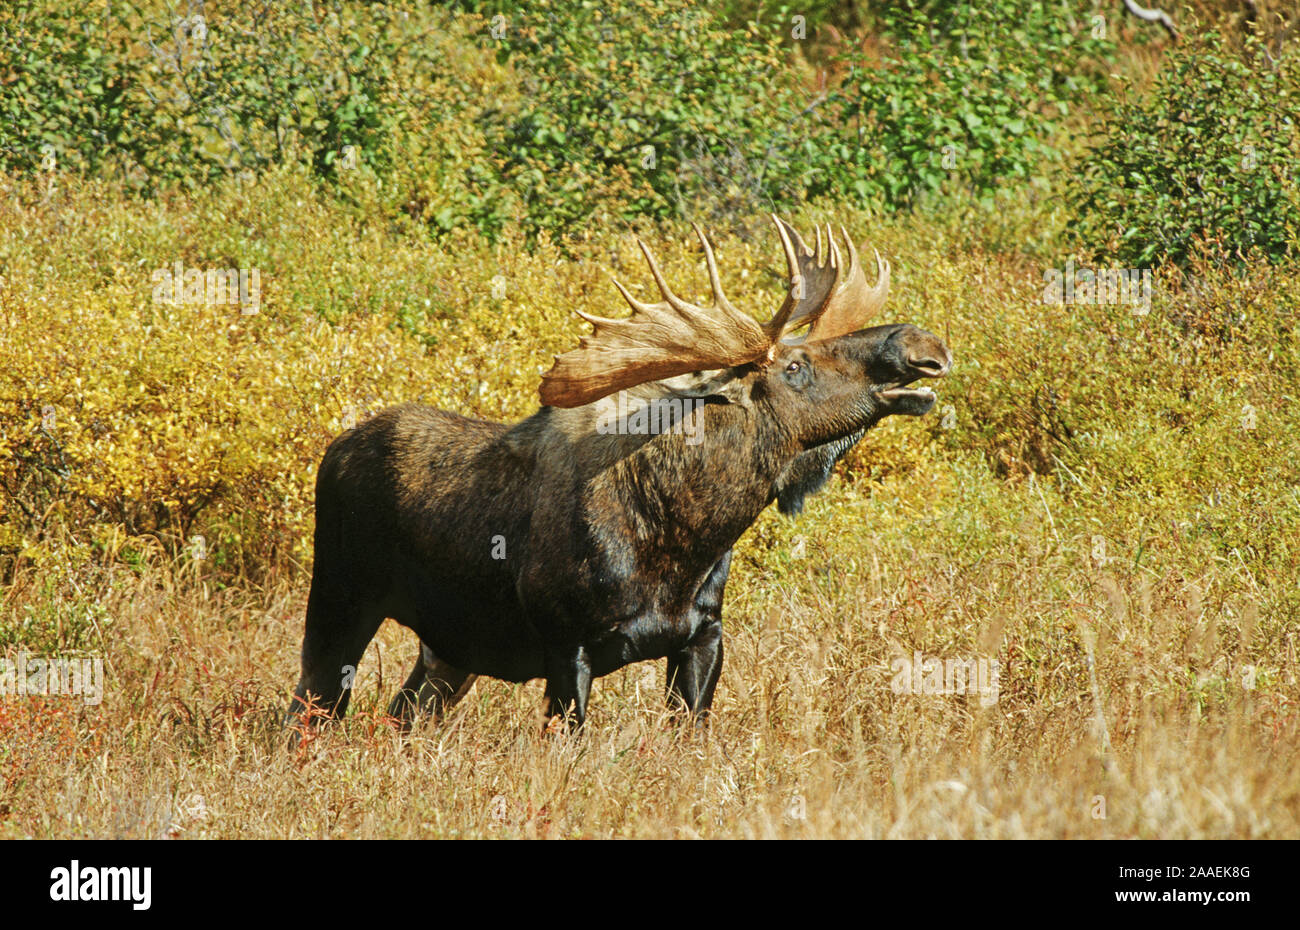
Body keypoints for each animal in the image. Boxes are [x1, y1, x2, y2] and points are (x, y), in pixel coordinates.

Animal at [287, 215, 956, 733]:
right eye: (795, 365)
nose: (921, 343)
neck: (684, 539)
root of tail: (335, 449)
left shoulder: (703, 636)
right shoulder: (566, 645)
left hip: (449, 649)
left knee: (403, 712)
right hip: (340, 599)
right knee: (307, 710)